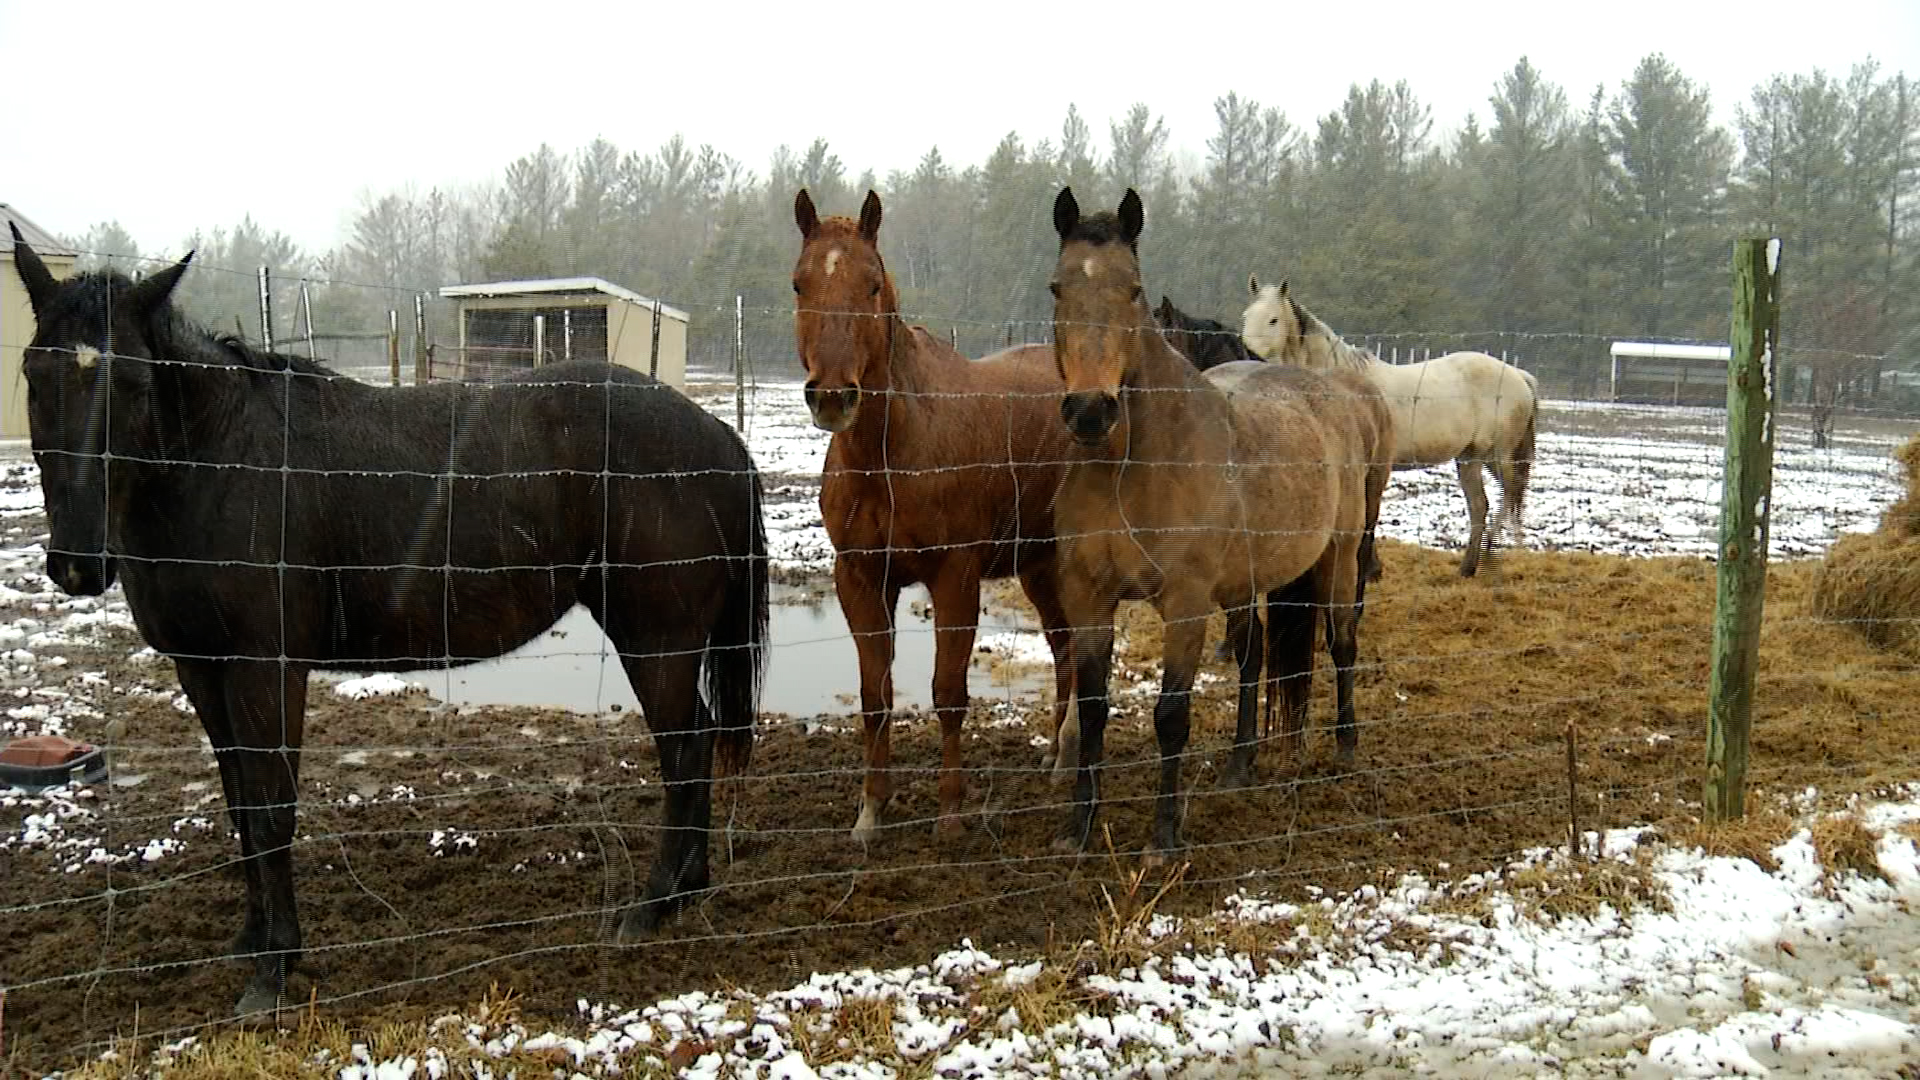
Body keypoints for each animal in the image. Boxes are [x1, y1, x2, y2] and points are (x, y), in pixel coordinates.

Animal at [10, 225, 769, 1017]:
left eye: (130, 382)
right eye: (35, 372)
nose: (75, 564)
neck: (219, 463)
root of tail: (718, 437)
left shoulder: (264, 670)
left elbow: (272, 807)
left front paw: (273, 973)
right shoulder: (203, 671)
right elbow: (240, 805)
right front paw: (252, 941)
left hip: (657, 639)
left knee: (686, 752)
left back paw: (650, 907)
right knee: (697, 746)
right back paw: (686, 892)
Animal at [791, 189, 1079, 843]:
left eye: (872, 285)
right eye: (799, 284)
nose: (833, 397)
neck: (891, 453)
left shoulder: (954, 575)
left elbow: (948, 692)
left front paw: (950, 813)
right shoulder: (861, 578)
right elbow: (875, 695)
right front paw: (871, 812)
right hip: (1040, 566)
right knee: (1064, 645)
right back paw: (1057, 755)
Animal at [1046, 189, 1394, 858]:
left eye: (1133, 289)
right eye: (1056, 288)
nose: (1090, 411)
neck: (1134, 465)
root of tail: (1335, 393)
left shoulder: (1184, 603)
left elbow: (1170, 715)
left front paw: (1163, 838)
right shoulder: (1086, 597)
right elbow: (1094, 708)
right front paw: (1078, 829)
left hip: (1340, 557)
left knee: (1342, 643)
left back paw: (1345, 747)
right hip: (1242, 583)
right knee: (1254, 656)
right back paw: (1240, 764)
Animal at [1241, 277, 1539, 577]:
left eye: (1273, 320)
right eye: (1245, 316)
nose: (1248, 354)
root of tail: (1518, 375)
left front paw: (1370, 568)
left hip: (1499, 456)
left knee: (1507, 497)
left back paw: (1488, 557)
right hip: (1470, 458)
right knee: (1481, 505)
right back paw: (1468, 567)